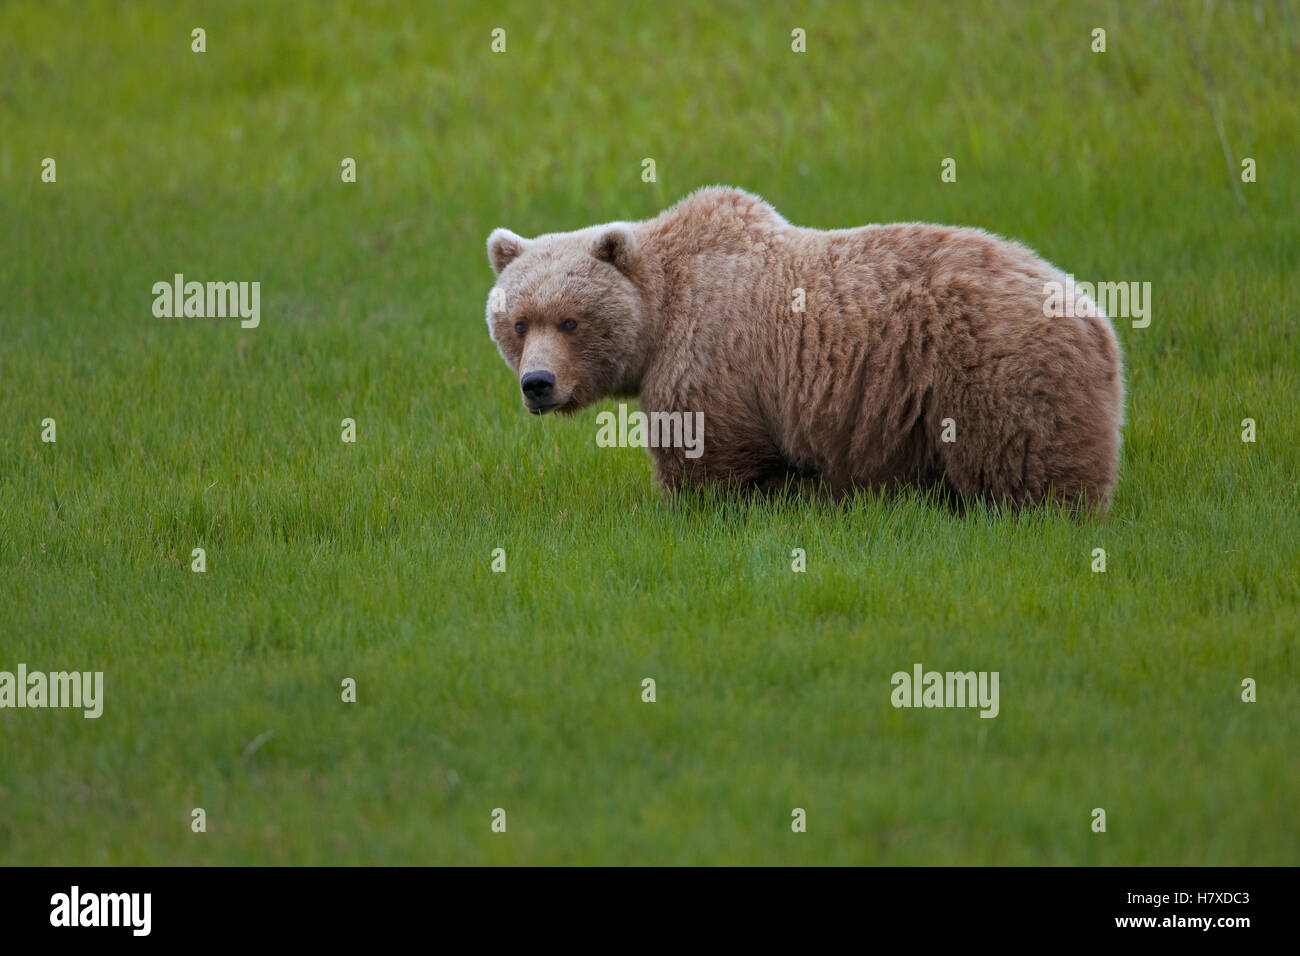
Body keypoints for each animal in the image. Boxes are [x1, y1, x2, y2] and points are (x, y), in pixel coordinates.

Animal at [484, 186, 1124, 513]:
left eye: (570, 321)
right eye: (519, 323)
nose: (537, 383)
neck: (662, 312)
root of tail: (1093, 312)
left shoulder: (712, 357)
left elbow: (710, 458)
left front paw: (703, 509)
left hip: (994, 368)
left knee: (1023, 461)